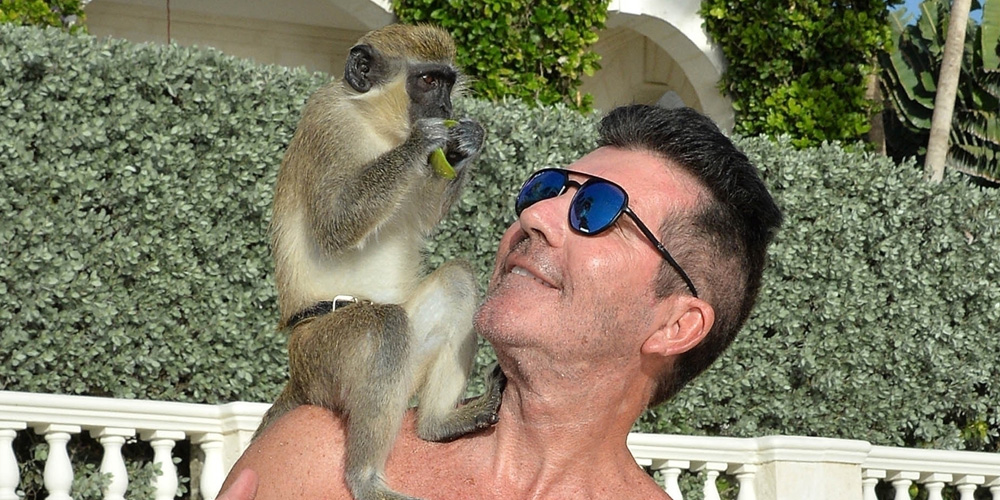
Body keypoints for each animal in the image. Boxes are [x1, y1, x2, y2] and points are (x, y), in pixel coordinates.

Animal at [255, 24, 505, 500]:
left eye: (447, 83)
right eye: (427, 81)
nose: (446, 109)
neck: (372, 121)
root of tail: (298, 375)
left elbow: (423, 216)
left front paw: (467, 140)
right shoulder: (329, 122)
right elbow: (335, 223)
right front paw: (422, 141)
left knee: (457, 282)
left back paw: (437, 424)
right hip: (323, 355)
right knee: (384, 327)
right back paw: (366, 479)